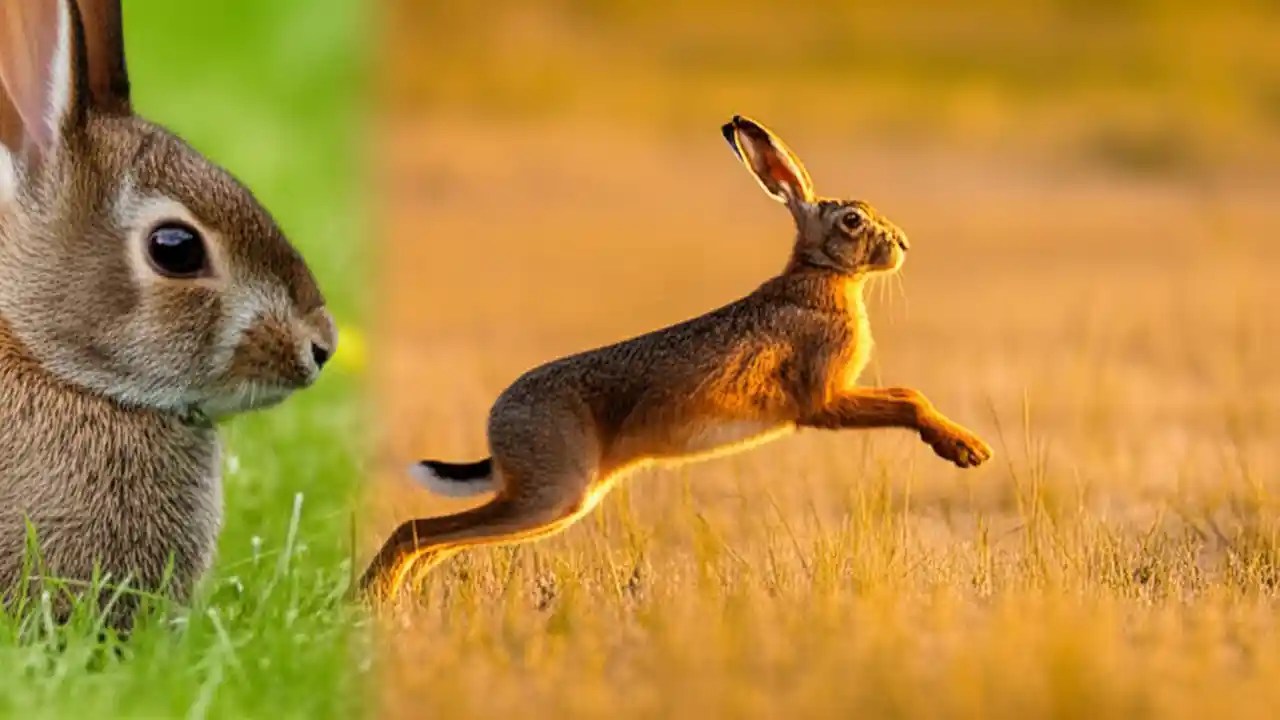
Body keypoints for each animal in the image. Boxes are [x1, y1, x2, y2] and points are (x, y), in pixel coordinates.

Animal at [359, 115, 991, 598]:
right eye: (852, 220)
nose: (902, 245)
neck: (821, 276)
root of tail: (498, 425)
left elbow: (906, 394)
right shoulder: (822, 400)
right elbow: (907, 400)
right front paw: (966, 450)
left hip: (554, 498)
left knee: (440, 539)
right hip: (553, 493)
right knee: (418, 530)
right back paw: (374, 600)